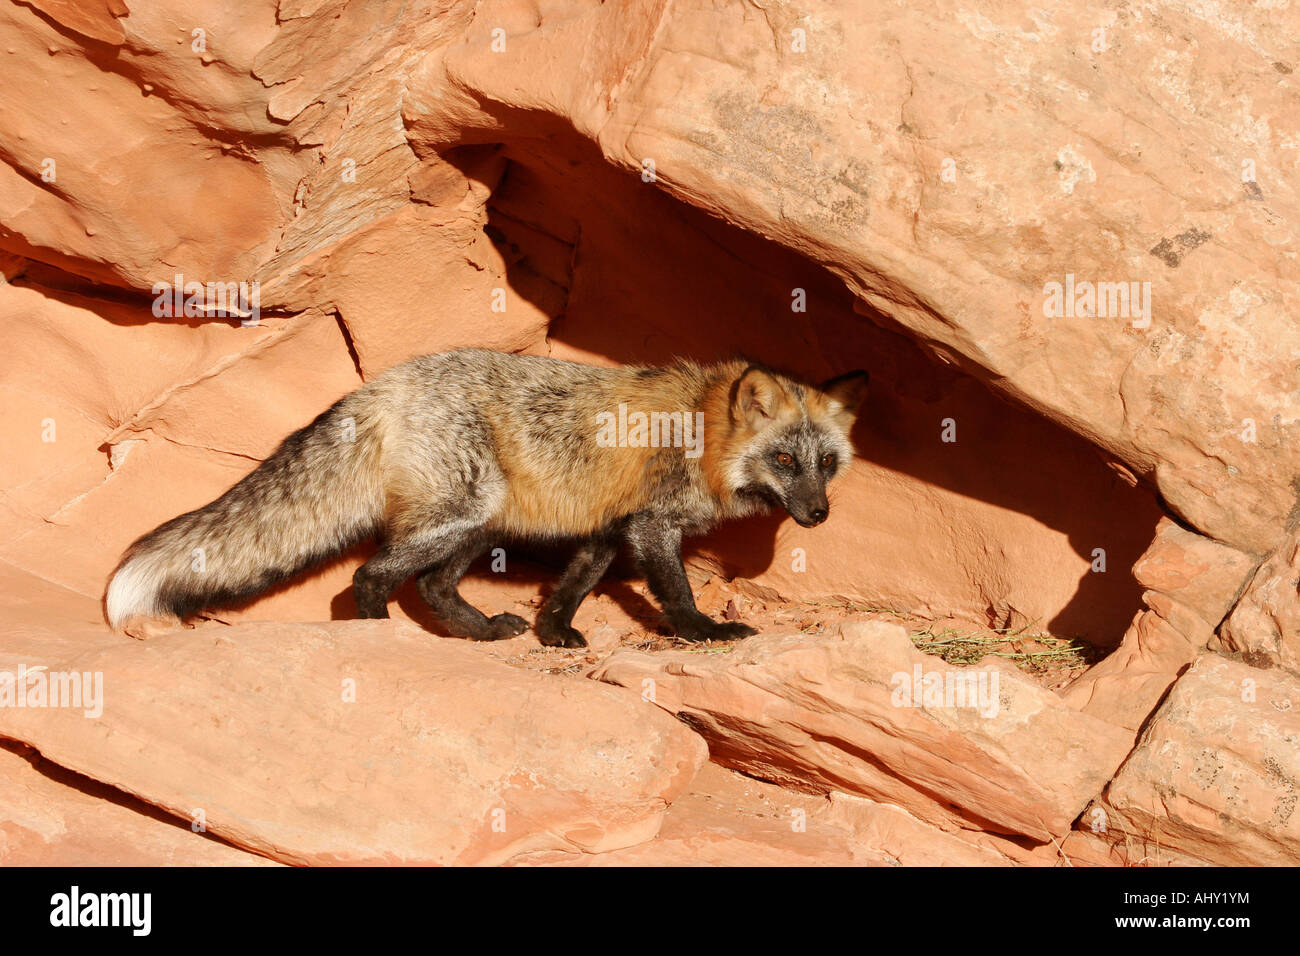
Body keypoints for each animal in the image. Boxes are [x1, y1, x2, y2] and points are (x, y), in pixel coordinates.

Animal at [105, 348, 868, 646]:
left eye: (826, 464)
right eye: (782, 460)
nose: (819, 515)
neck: (701, 434)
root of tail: (384, 383)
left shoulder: (608, 526)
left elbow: (572, 586)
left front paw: (553, 634)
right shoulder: (651, 525)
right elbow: (675, 592)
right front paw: (702, 631)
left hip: (478, 522)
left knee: (434, 586)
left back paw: (477, 631)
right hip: (463, 513)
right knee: (372, 573)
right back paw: (379, 633)